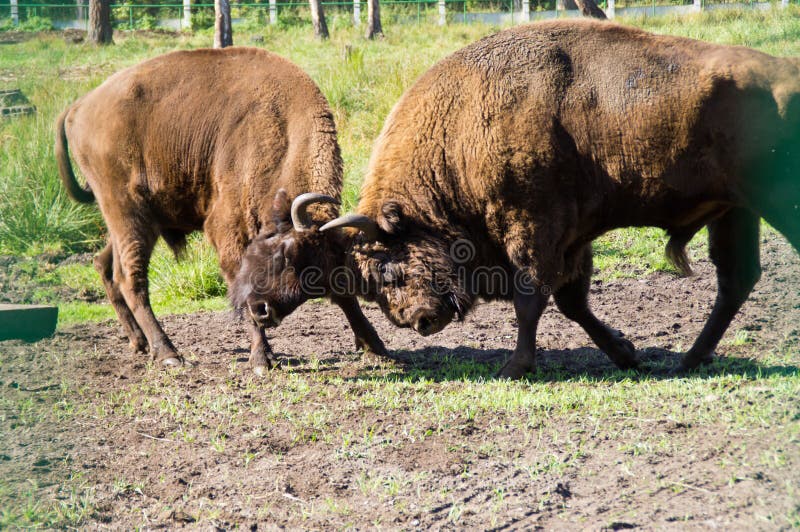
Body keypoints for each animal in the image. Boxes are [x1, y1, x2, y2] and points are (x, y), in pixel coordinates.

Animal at [56, 47, 386, 375]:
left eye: (315, 275)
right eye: (285, 254)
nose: (264, 310)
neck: (282, 128)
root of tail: (78, 108)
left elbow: (344, 294)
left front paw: (376, 347)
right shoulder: (227, 229)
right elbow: (237, 284)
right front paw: (261, 360)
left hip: (132, 222)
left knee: (104, 266)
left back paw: (140, 344)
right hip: (129, 213)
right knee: (130, 278)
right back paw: (168, 354)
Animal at [319, 20, 800, 379]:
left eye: (390, 270)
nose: (420, 322)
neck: (457, 133)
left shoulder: (533, 230)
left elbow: (530, 299)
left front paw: (515, 367)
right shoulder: (573, 240)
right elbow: (573, 303)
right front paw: (627, 354)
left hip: (772, 201)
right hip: (736, 210)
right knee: (735, 280)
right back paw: (688, 361)